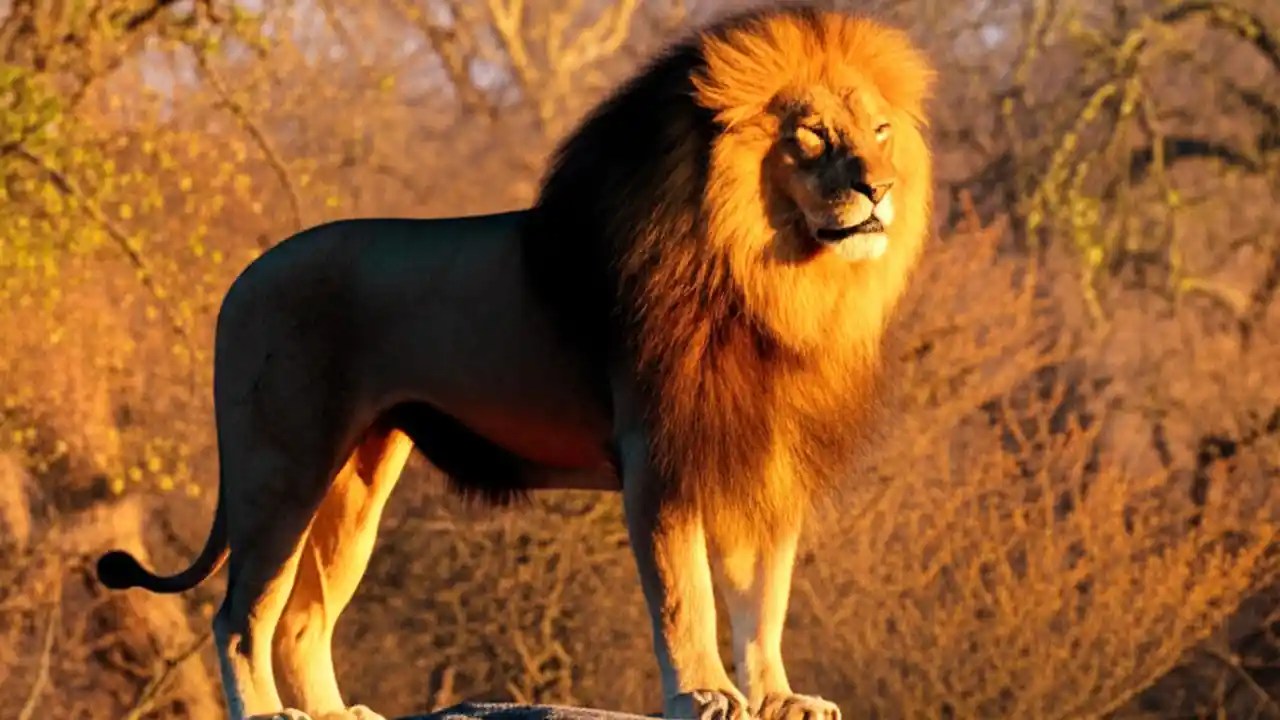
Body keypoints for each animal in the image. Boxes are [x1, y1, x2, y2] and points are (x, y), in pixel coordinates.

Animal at [94, 6, 934, 720]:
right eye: (814, 136)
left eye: (880, 130)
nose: (880, 188)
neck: (774, 286)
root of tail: (244, 278)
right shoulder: (659, 457)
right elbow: (685, 595)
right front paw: (702, 694)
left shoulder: (763, 460)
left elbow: (764, 596)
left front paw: (780, 698)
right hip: (281, 465)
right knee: (239, 615)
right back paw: (272, 713)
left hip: (356, 481)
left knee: (303, 615)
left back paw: (335, 714)